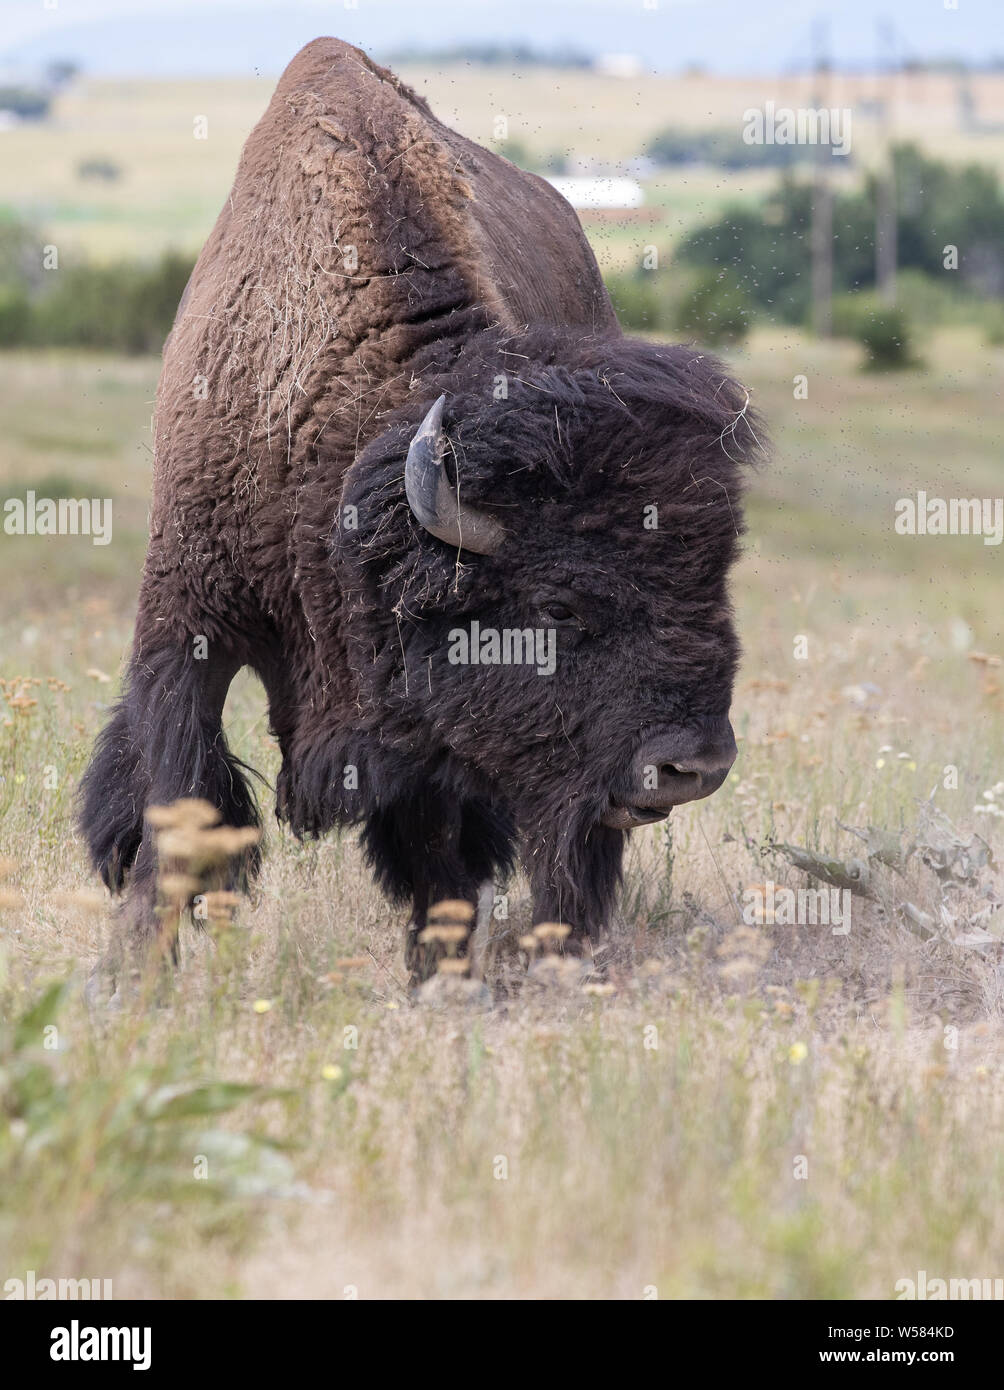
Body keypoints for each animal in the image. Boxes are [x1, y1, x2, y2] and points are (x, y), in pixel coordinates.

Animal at [79, 37, 762, 981]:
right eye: (559, 606)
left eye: (719, 580)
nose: (694, 766)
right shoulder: (189, 622)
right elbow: (178, 808)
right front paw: (134, 973)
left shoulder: (421, 727)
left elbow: (437, 846)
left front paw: (440, 972)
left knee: (570, 853)